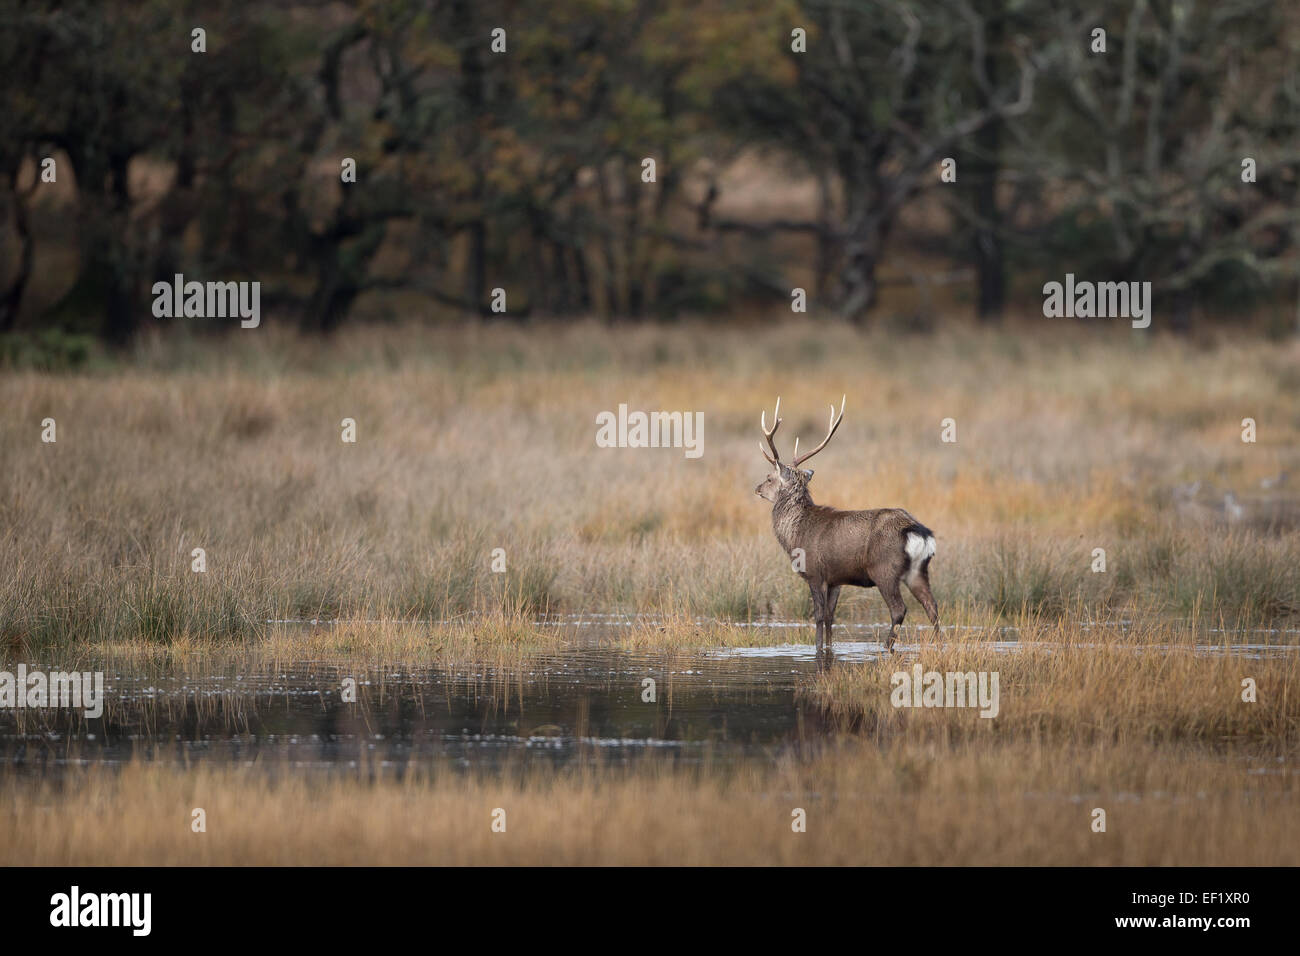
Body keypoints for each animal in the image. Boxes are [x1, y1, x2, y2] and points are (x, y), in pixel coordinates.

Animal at [754, 396, 939, 655]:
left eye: (770, 478)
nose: (757, 488)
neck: (795, 533)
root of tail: (917, 531)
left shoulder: (815, 573)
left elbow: (819, 617)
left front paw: (817, 650)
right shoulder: (836, 579)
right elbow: (831, 617)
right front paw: (830, 649)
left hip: (884, 569)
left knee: (899, 609)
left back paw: (886, 648)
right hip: (918, 570)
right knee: (932, 607)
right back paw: (940, 646)